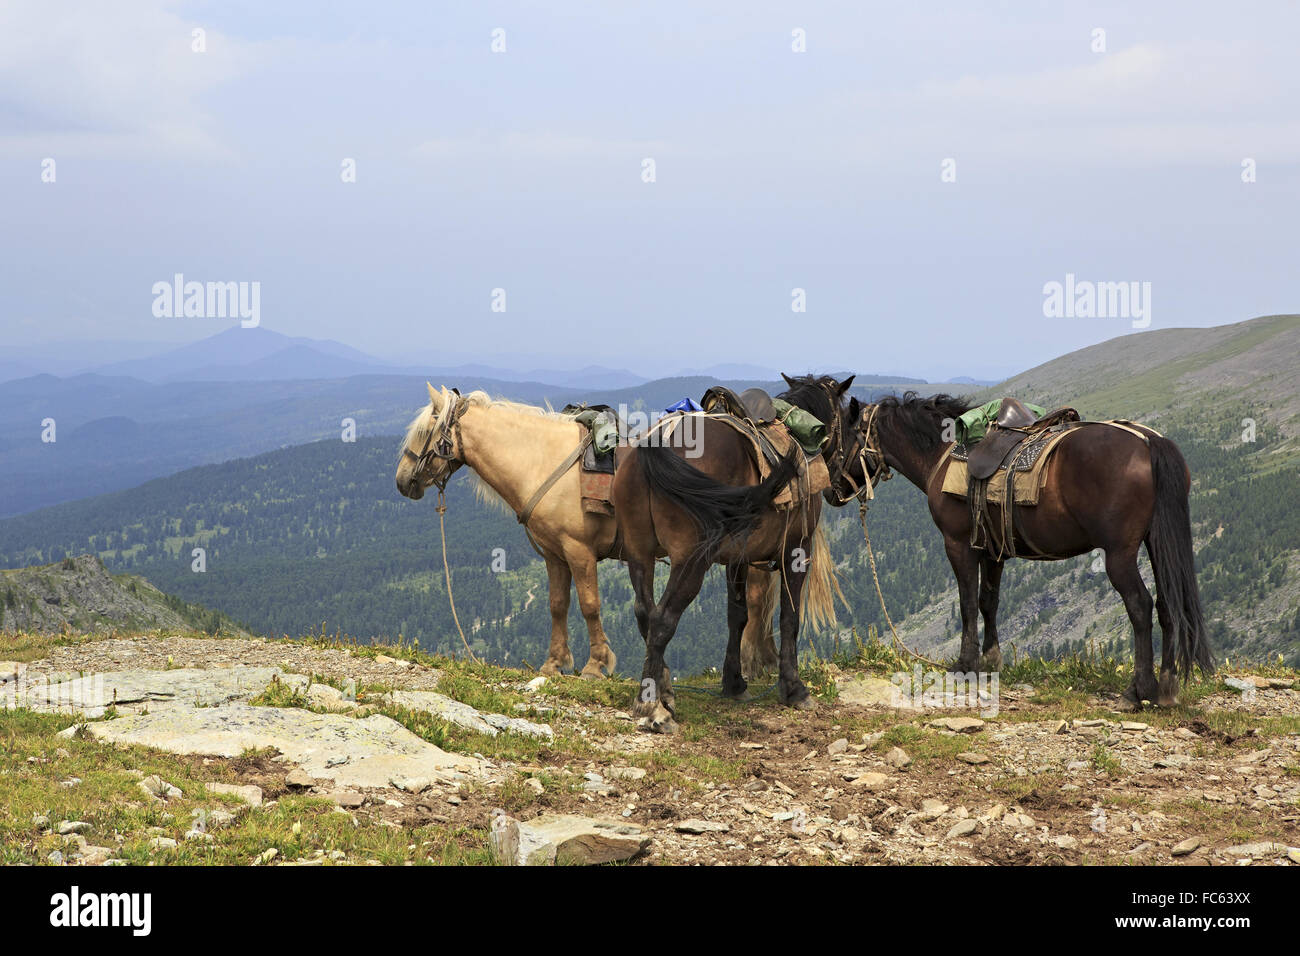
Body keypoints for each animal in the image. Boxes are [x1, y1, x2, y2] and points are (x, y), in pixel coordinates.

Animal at [612, 374, 862, 733]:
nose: (850, 485)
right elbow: (789, 617)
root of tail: (656, 445)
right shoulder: (796, 548)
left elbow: (738, 616)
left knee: (644, 613)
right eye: (850, 423)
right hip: (690, 562)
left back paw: (664, 693)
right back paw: (653, 707)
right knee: (662, 619)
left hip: (639, 554)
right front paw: (794, 689)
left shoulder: (737, 558)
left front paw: (734, 683)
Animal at [829, 391, 1213, 709]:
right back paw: (1166, 687)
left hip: (1119, 554)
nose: (831, 491)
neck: (942, 453)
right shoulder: (991, 550)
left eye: (840, 441)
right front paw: (990, 660)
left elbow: (967, 604)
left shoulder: (958, 544)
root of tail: (1149, 442)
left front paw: (965, 664)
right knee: (1167, 605)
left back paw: (1138, 690)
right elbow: (989, 601)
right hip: (1155, 543)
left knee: (1140, 606)